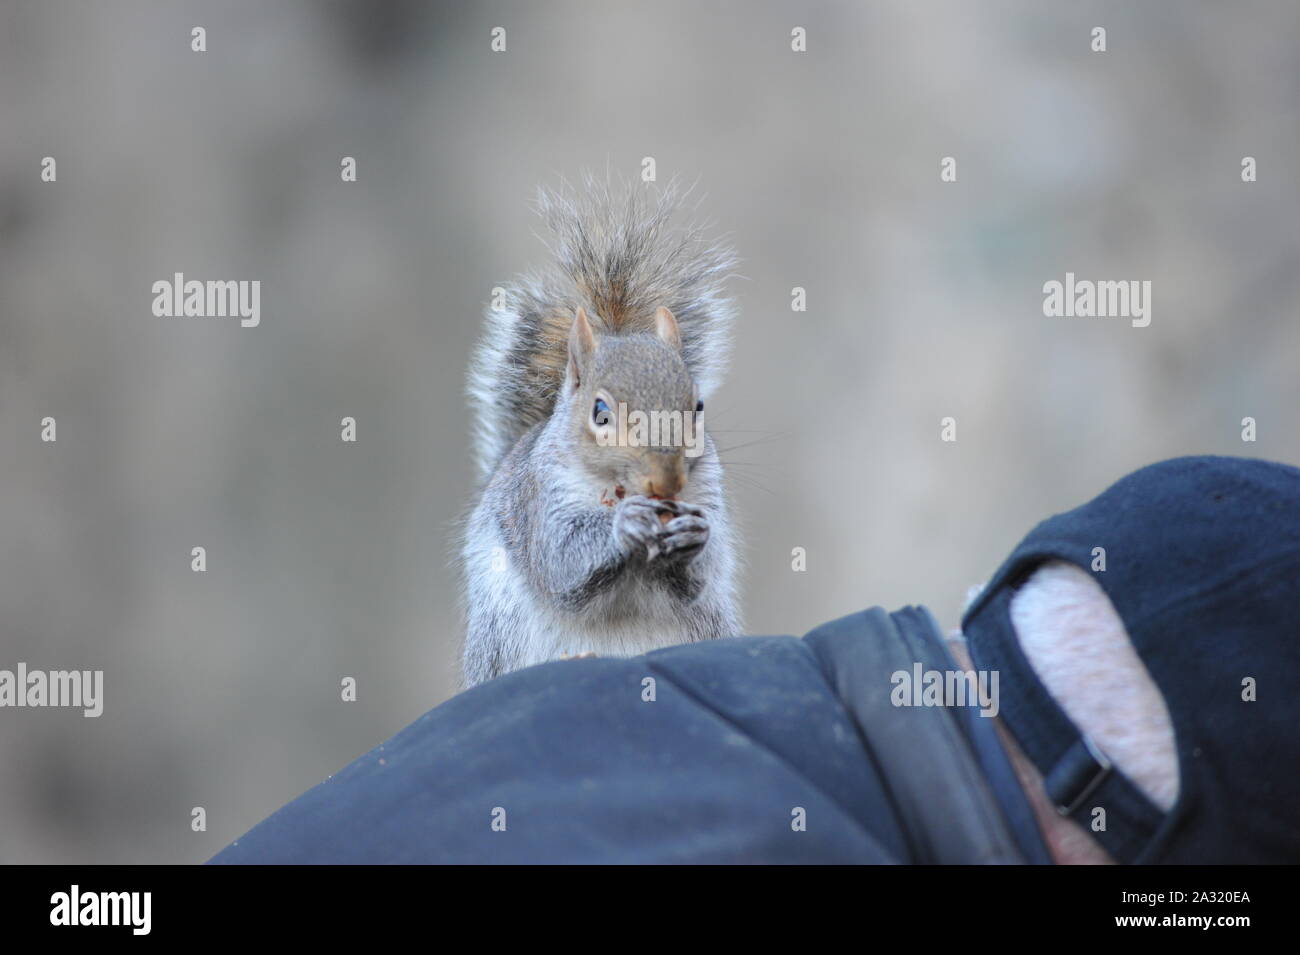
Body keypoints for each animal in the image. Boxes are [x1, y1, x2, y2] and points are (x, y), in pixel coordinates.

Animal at [459, 178, 741, 687]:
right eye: (600, 412)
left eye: (698, 407)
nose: (668, 481)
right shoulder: (541, 497)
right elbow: (561, 559)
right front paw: (623, 524)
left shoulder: (708, 490)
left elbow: (700, 576)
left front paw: (694, 534)